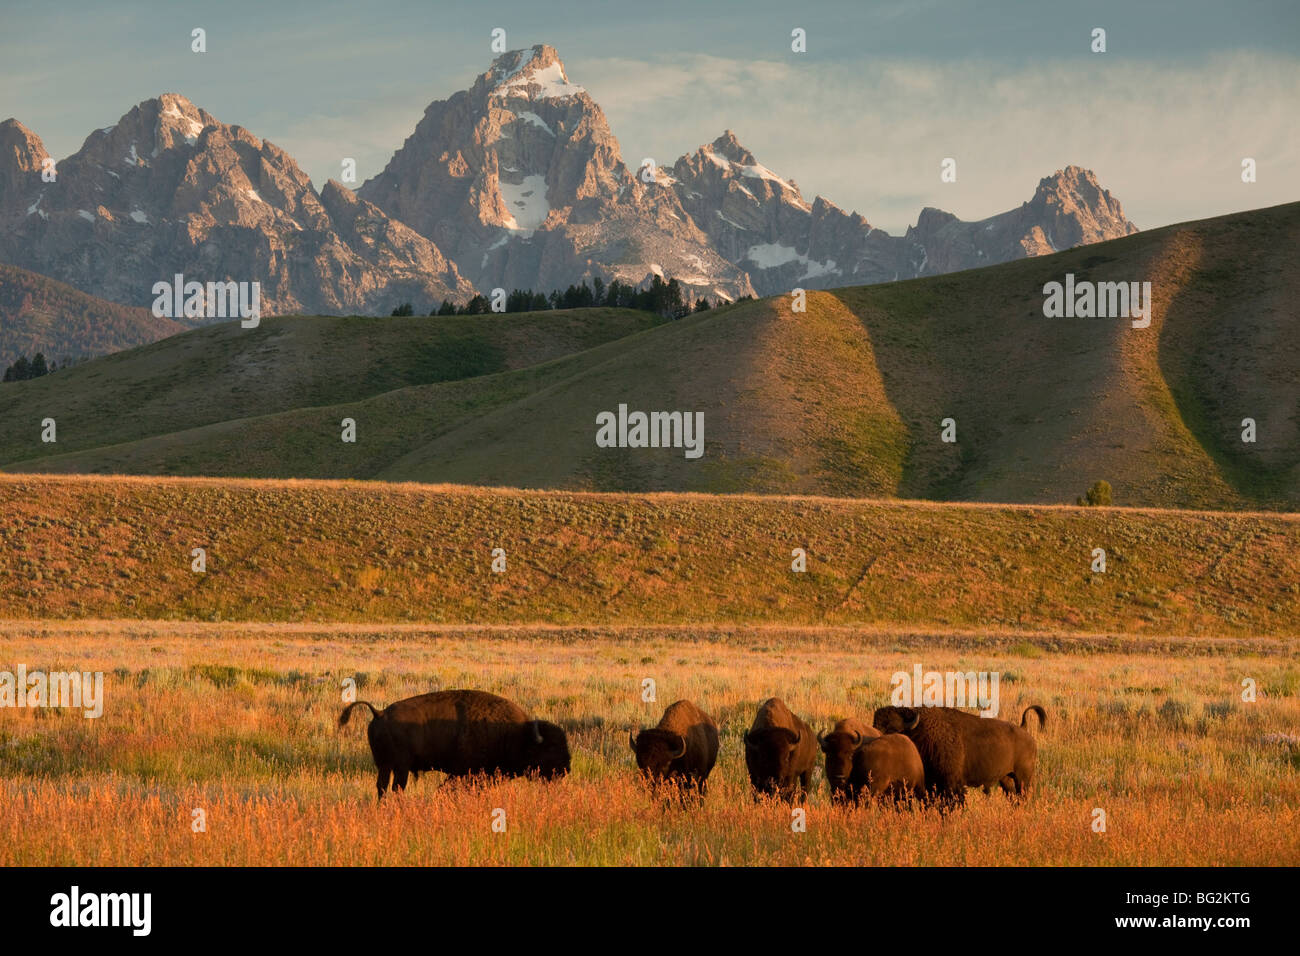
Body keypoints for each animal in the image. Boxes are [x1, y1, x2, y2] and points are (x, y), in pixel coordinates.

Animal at [339, 689, 570, 799]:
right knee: (396, 788)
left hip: (385, 767)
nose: (566, 770)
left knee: (382, 787)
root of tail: (379, 713)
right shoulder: (466, 773)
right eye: (551, 748)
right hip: (400, 768)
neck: (518, 735)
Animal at [873, 704, 1046, 808]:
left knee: (1022, 796)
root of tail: (1024, 731)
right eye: (875, 724)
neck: (920, 732)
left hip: (1022, 778)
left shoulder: (952, 784)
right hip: (1006, 779)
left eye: (893, 729)